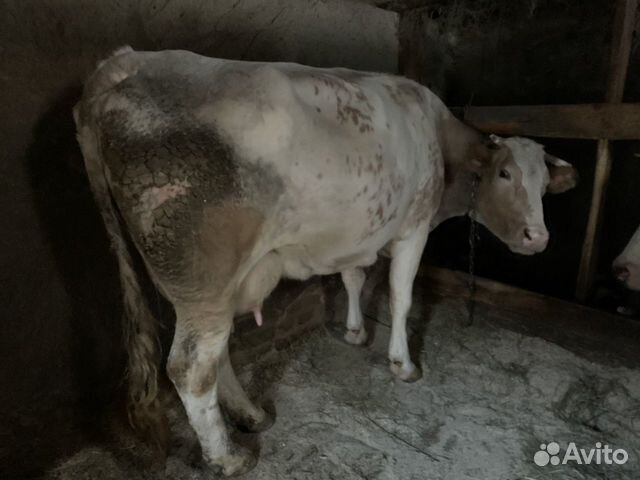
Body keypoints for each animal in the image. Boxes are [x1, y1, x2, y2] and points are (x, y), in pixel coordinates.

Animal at [73, 47, 578, 475]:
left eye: (543, 183)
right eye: (505, 174)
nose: (538, 238)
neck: (436, 135)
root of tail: (127, 61)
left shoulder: (359, 232)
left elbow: (353, 277)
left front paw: (354, 332)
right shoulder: (413, 226)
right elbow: (400, 296)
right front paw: (402, 363)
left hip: (207, 288)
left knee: (218, 356)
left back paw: (251, 415)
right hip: (204, 282)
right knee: (191, 368)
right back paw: (228, 458)